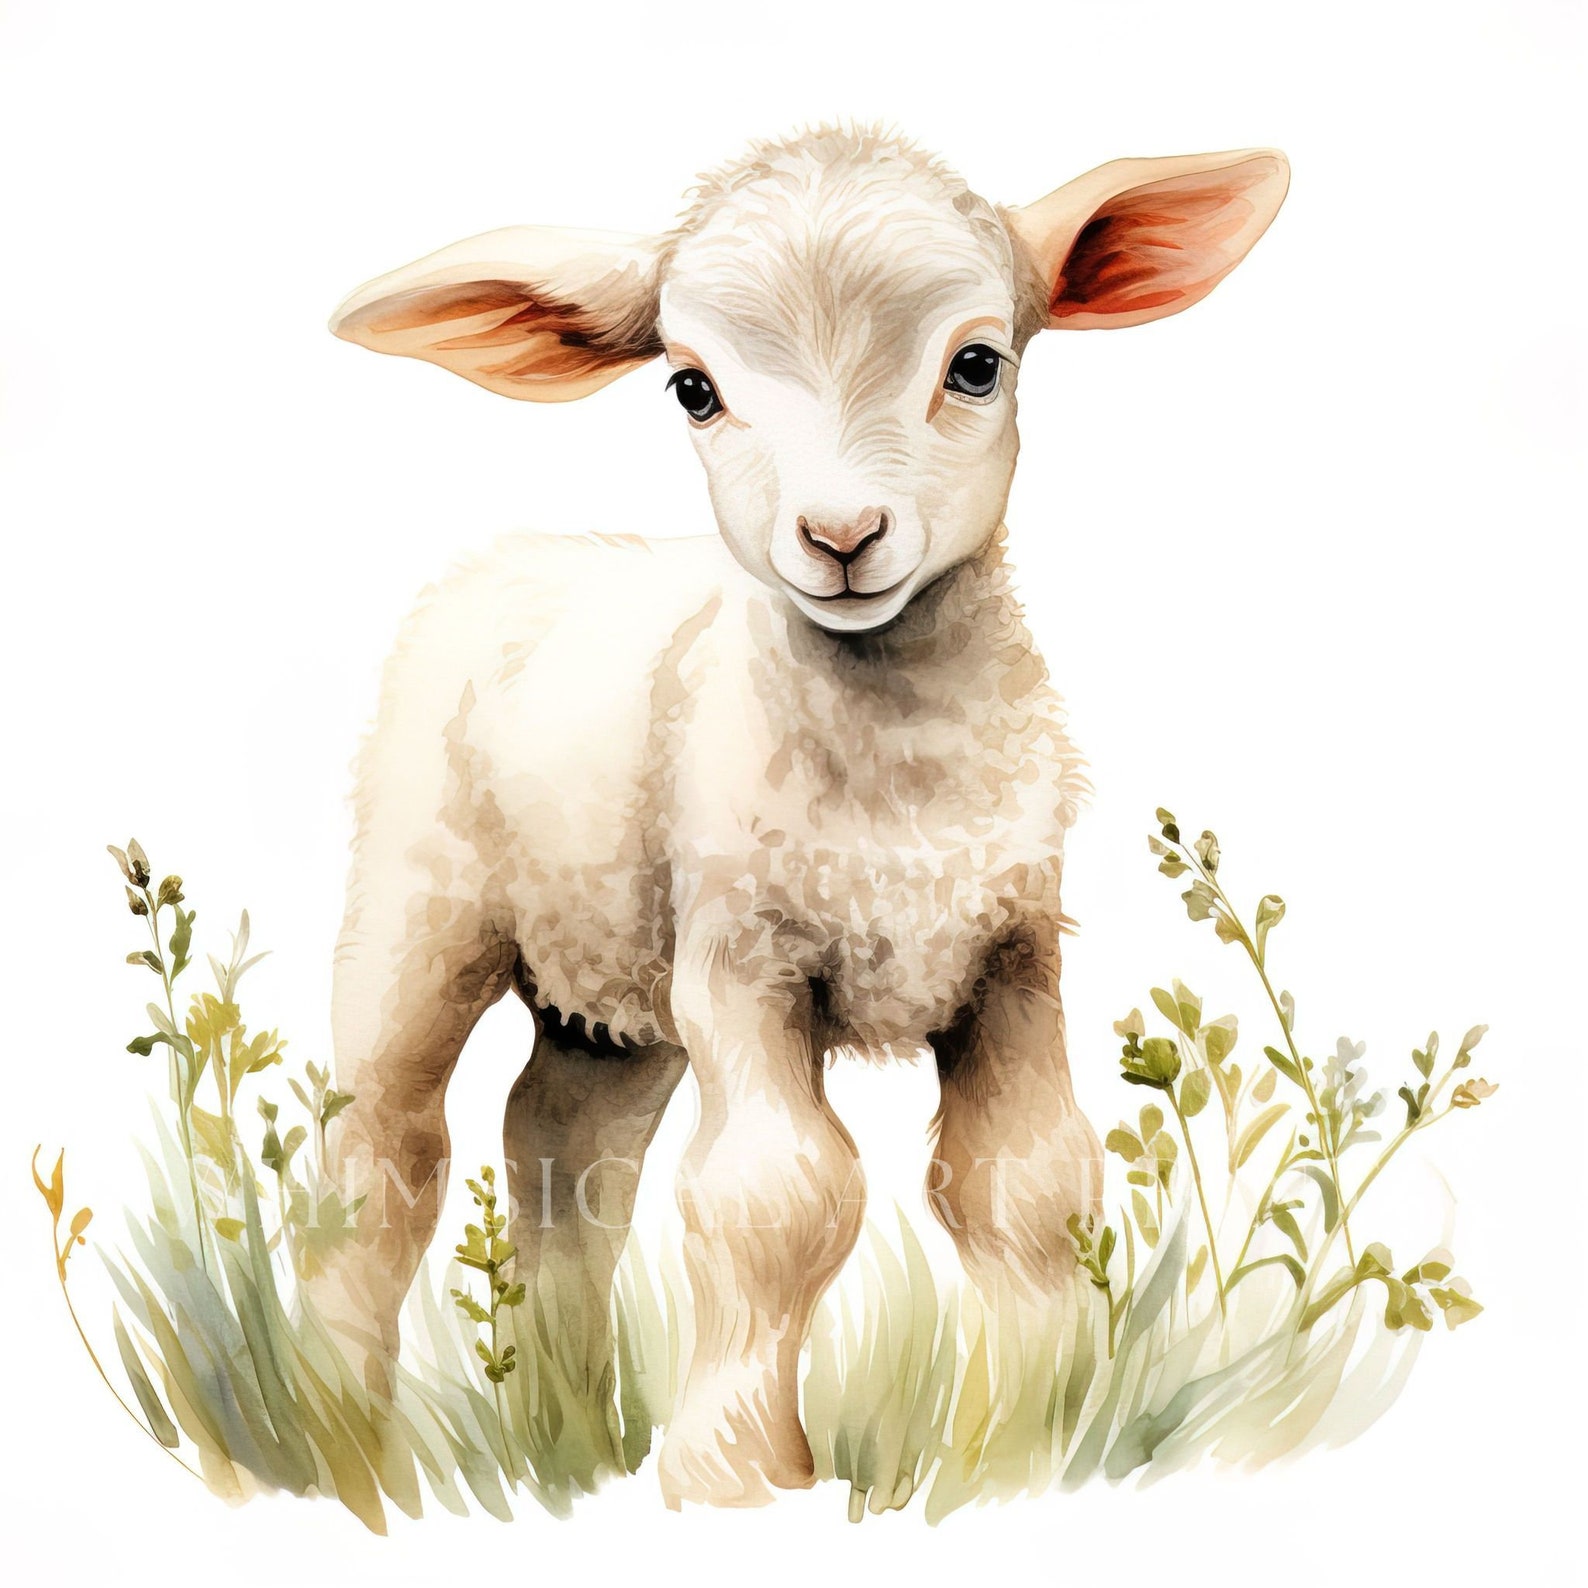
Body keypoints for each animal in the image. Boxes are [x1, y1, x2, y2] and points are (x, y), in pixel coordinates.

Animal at [315, 126, 1289, 1507]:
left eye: (977, 364)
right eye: (692, 389)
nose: (839, 535)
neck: (896, 779)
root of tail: (527, 552)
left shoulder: (1010, 953)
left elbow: (1026, 1185)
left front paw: (1026, 1445)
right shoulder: (743, 957)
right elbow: (775, 1201)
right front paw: (738, 1473)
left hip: (612, 992)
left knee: (566, 1155)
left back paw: (575, 1427)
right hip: (418, 899)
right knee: (382, 1150)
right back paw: (341, 1426)